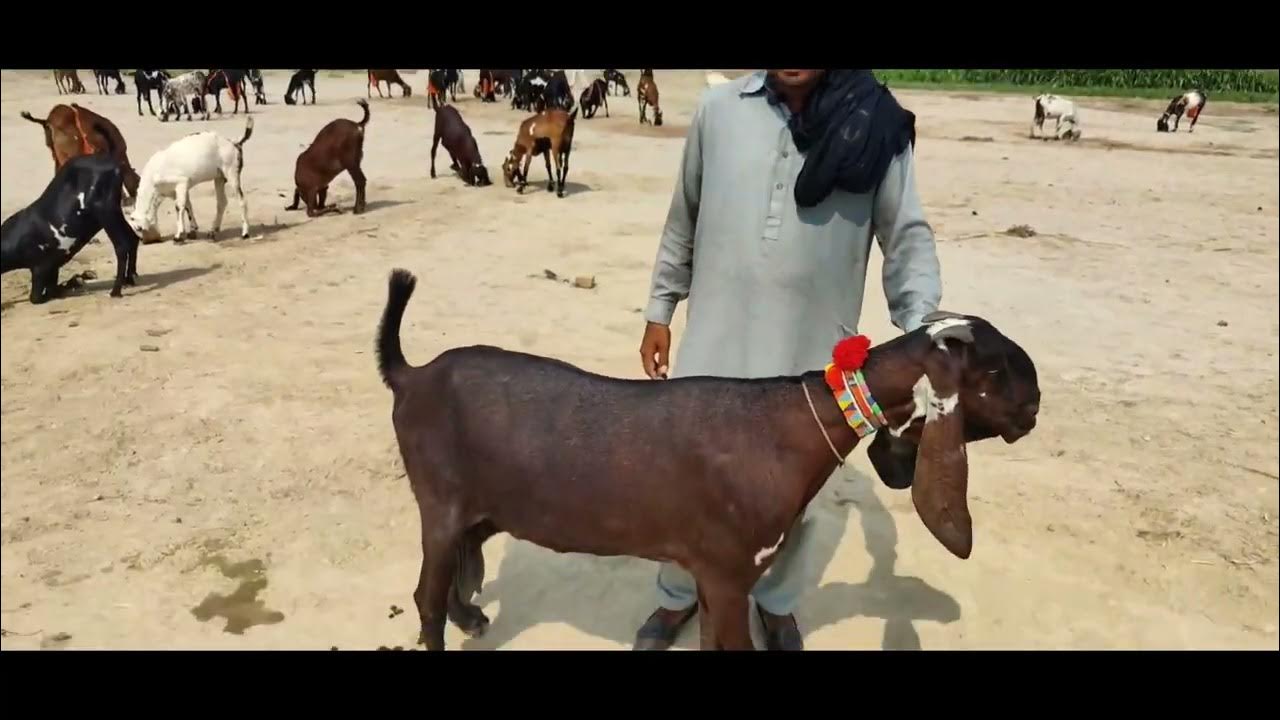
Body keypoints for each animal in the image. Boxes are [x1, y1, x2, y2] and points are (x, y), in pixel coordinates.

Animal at [1, 134, 140, 304]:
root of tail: (114, 164)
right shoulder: (53, 266)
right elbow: (52, 288)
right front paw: (70, 283)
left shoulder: (40, 267)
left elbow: (36, 297)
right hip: (113, 213)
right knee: (132, 238)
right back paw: (130, 278)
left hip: (105, 212)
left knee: (122, 245)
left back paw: (116, 290)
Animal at [375, 273, 1041, 650]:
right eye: (996, 369)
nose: (1035, 406)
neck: (790, 427)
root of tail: (412, 376)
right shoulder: (725, 572)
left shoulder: (715, 573)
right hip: (439, 501)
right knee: (425, 598)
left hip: (481, 508)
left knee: (458, 569)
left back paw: (470, 617)